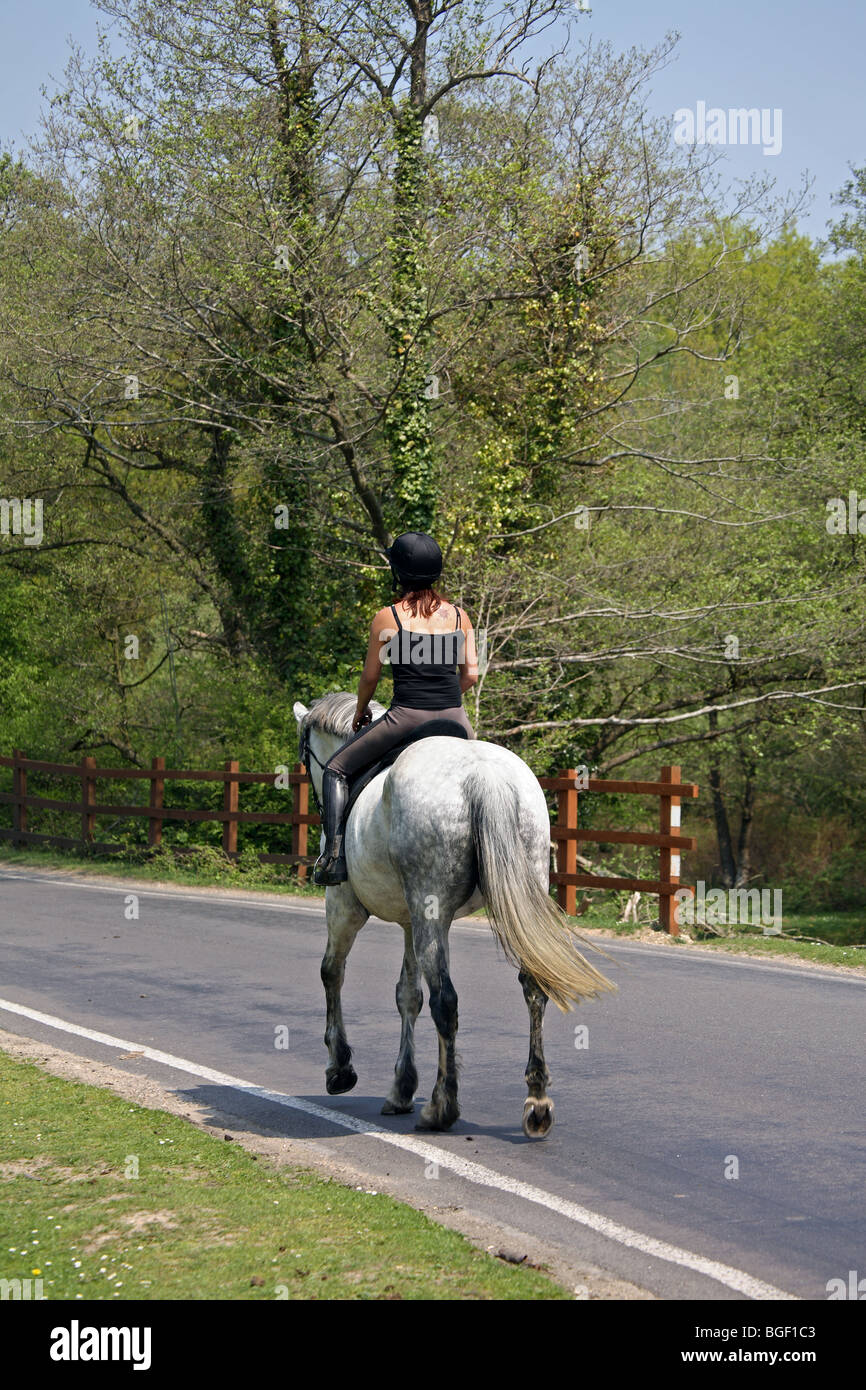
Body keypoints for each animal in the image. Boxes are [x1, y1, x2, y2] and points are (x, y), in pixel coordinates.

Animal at [293, 692, 615, 1138]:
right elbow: (407, 995)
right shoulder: (410, 921)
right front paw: (401, 1088)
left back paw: (441, 1107)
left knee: (445, 1000)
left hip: (425, 912)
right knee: (533, 988)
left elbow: (331, 973)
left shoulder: (344, 905)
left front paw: (340, 1068)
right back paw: (536, 1101)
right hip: (509, 898)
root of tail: (483, 773)